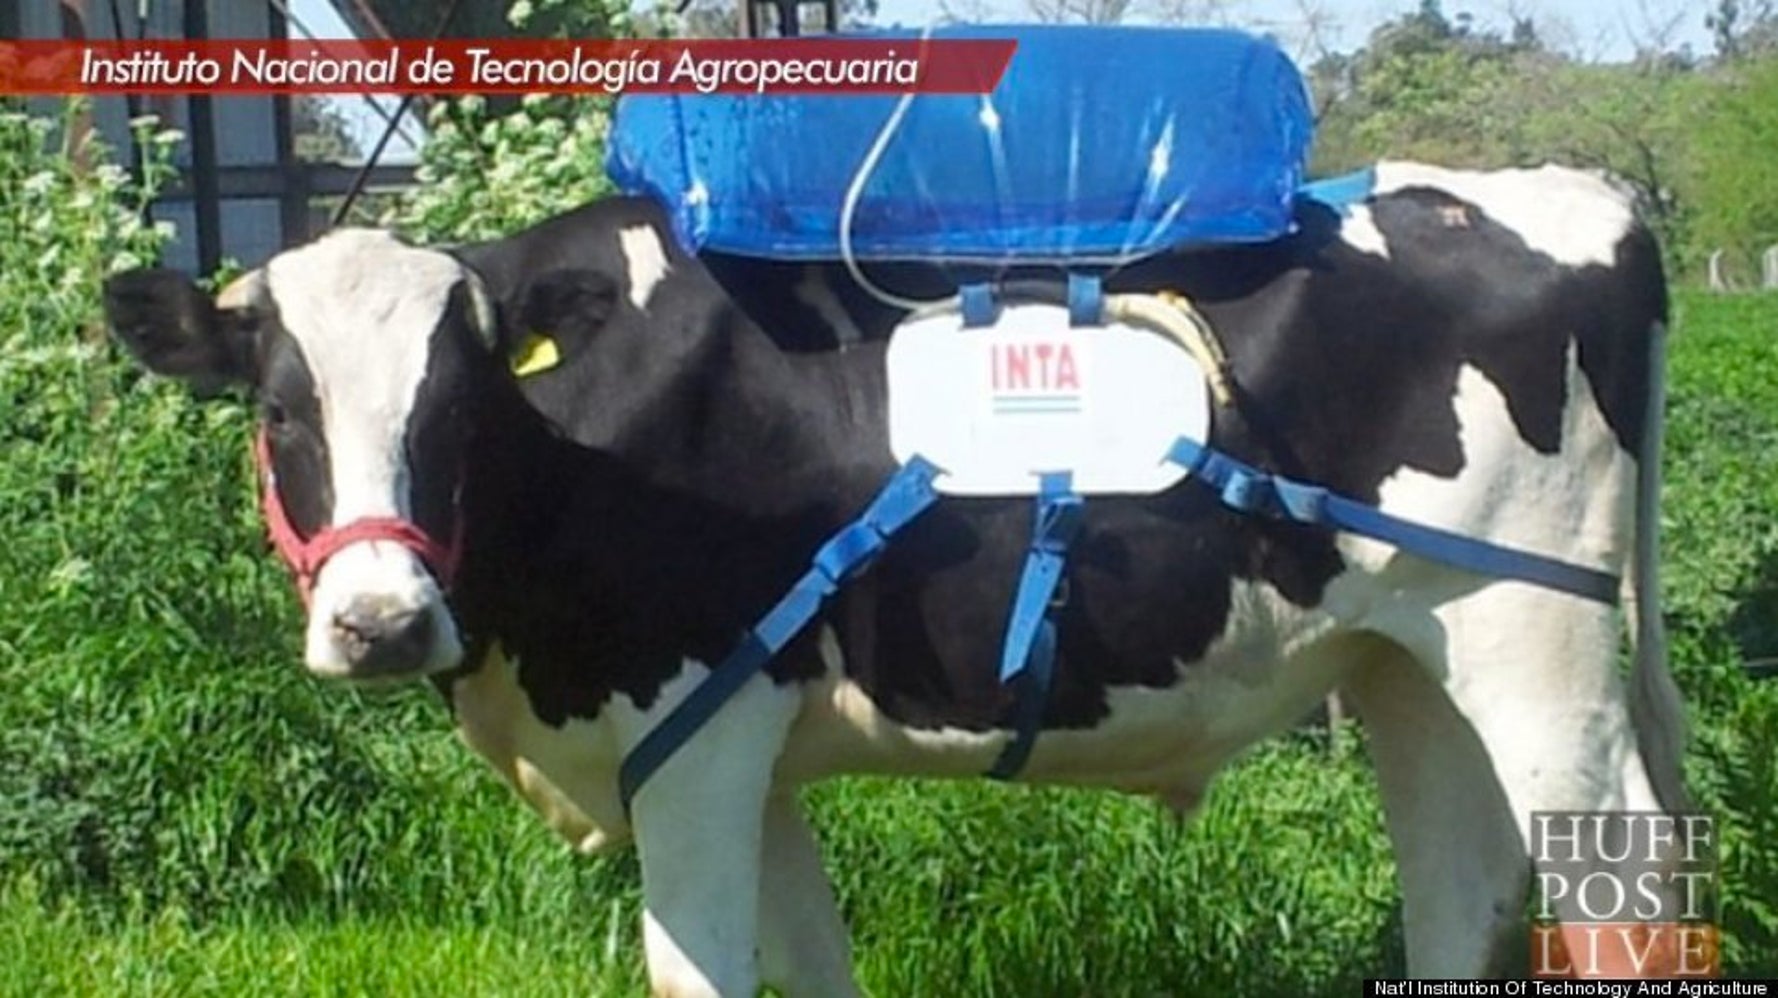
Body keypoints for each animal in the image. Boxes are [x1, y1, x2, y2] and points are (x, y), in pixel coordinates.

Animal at [101, 160, 1690, 995]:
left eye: (459, 409)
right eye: (279, 411)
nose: (379, 621)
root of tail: (1561, 191)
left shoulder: (689, 743)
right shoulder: (746, 752)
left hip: (1531, 629)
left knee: (1615, 872)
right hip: (1404, 652)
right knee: (1461, 878)